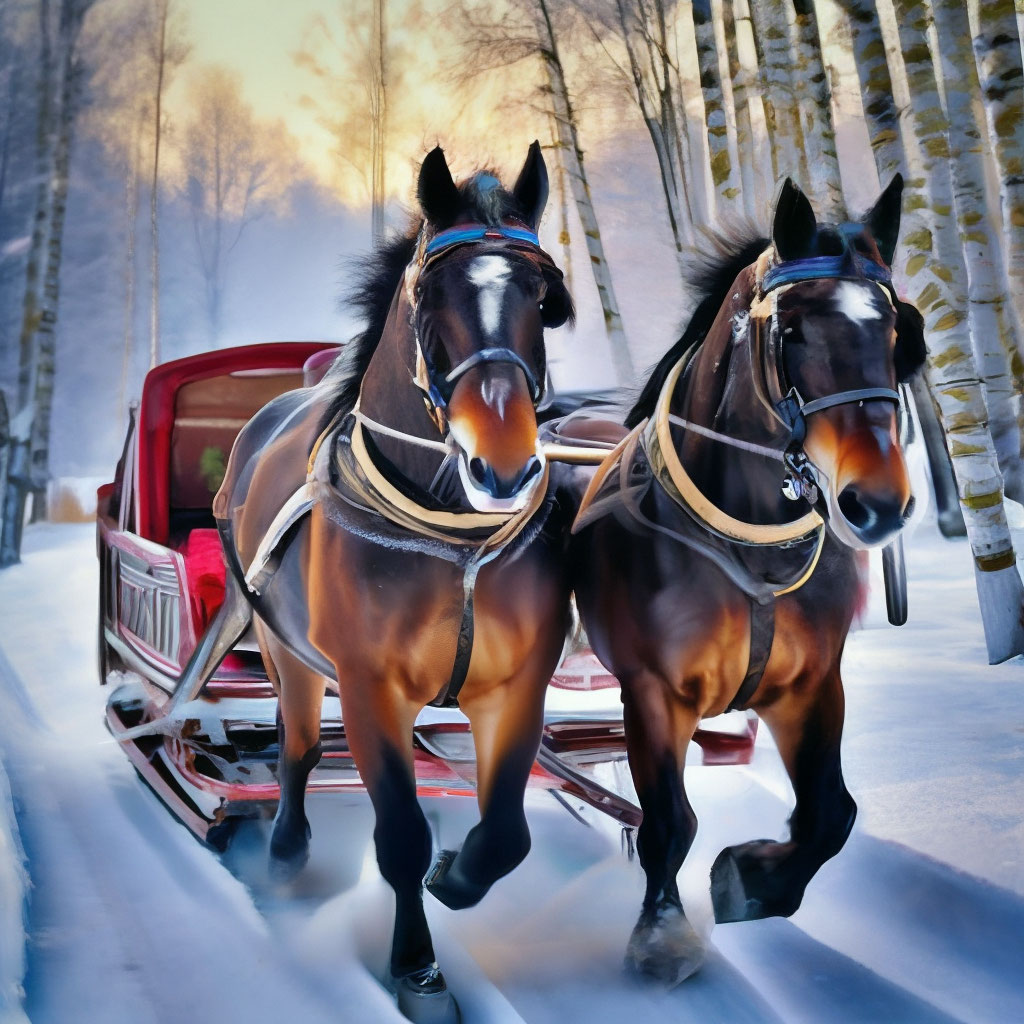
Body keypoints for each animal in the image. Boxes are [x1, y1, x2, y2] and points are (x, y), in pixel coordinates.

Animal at [208, 144, 576, 1023]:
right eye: (431, 295)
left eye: (544, 299)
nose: (503, 468)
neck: (452, 535)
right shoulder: (370, 687)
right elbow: (400, 835)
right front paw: (418, 970)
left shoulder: (517, 686)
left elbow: (505, 832)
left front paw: (456, 875)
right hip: (286, 650)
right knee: (299, 750)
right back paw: (286, 851)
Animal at [569, 176, 927, 985]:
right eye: (791, 332)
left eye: (900, 332)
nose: (877, 502)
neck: (748, 541)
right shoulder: (652, 691)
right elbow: (669, 822)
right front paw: (663, 936)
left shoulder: (811, 684)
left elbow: (831, 814)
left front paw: (752, 877)